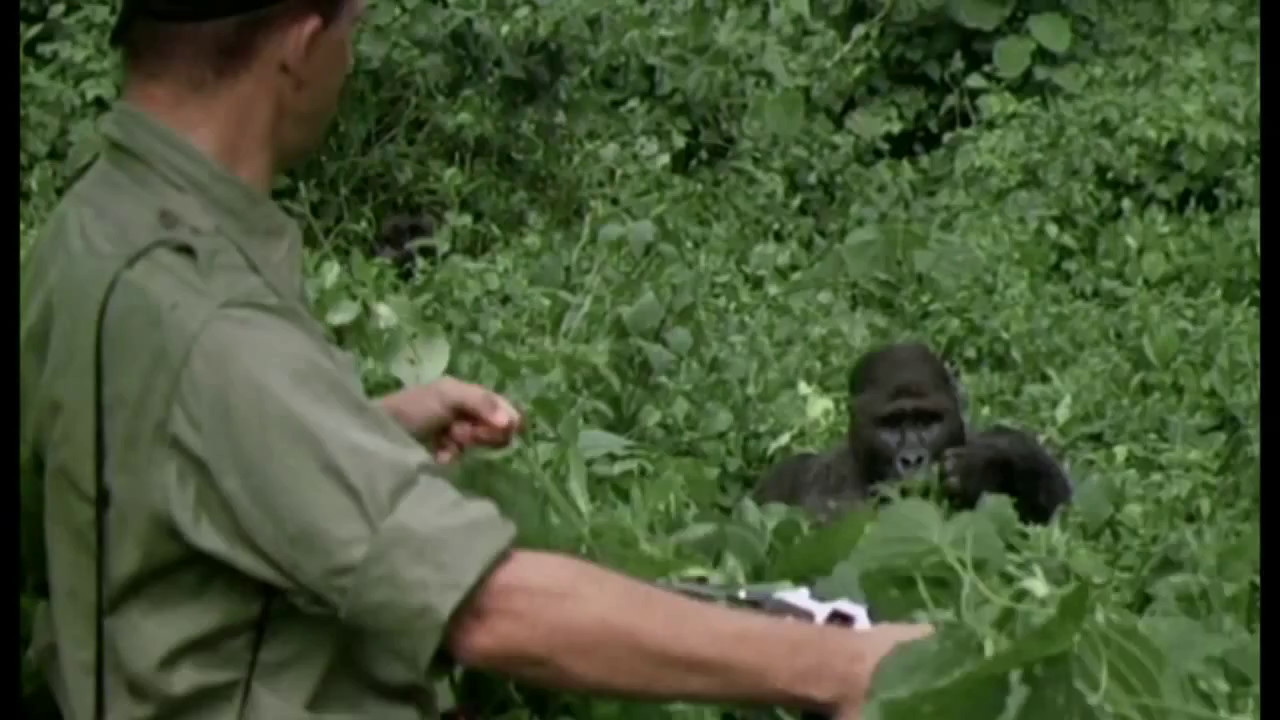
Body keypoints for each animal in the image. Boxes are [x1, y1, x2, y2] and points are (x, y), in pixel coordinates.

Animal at [753, 341, 1072, 526]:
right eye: (891, 423)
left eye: (927, 421)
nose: (912, 460)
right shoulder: (787, 476)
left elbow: (1061, 516)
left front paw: (986, 465)